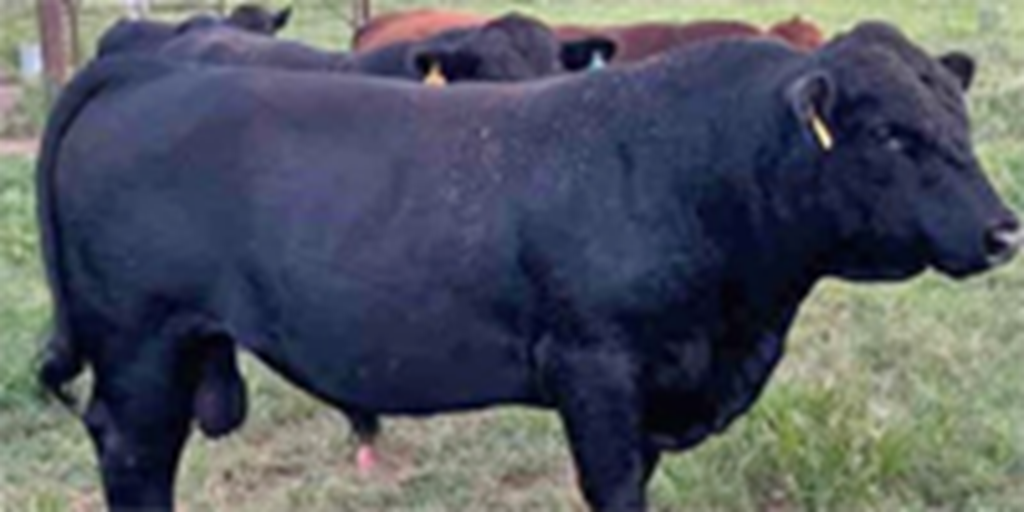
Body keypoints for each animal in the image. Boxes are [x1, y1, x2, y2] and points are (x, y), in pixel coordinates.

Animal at [37, 21, 1019, 512]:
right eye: (890, 134)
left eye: (959, 119)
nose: (1005, 230)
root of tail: (152, 73)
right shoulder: (596, 372)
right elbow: (613, 489)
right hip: (141, 345)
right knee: (134, 456)